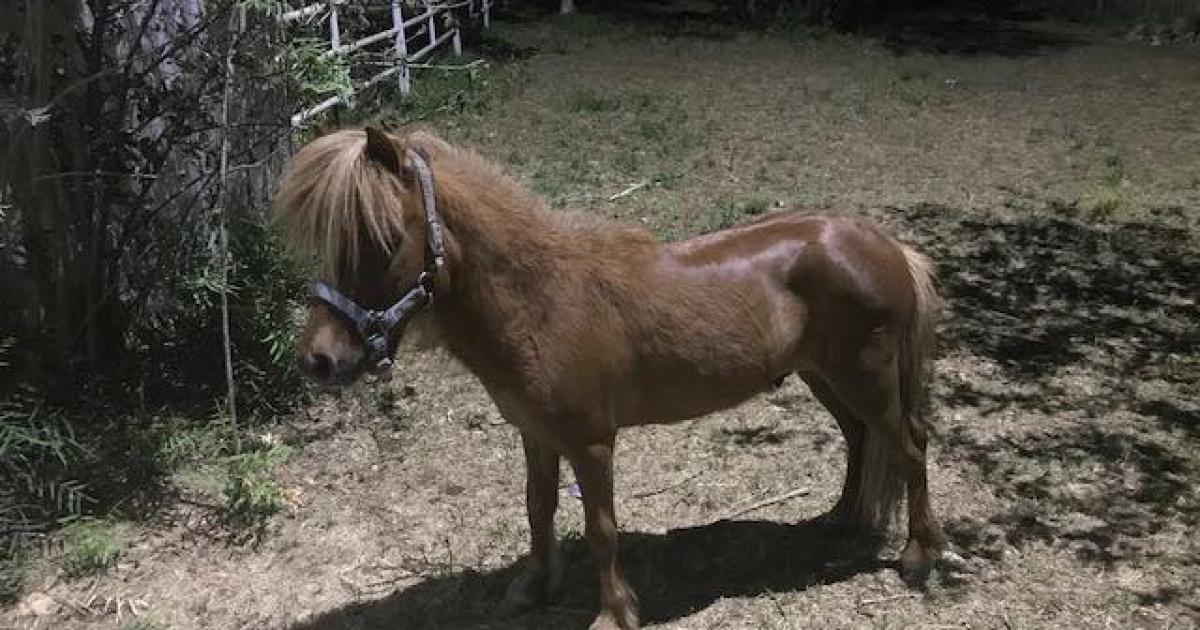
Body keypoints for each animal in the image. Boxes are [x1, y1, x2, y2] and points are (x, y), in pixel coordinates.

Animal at [273, 126, 946, 630]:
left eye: (382, 239)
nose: (318, 360)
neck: (539, 300)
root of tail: (889, 246)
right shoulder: (535, 434)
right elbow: (537, 507)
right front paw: (532, 587)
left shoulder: (592, 443)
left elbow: (601, 529)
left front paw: (612, 613)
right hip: (823, 376)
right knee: (859, 439)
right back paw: (843, 518)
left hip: (866, 378)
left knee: (910, 446)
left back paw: (918, 555)